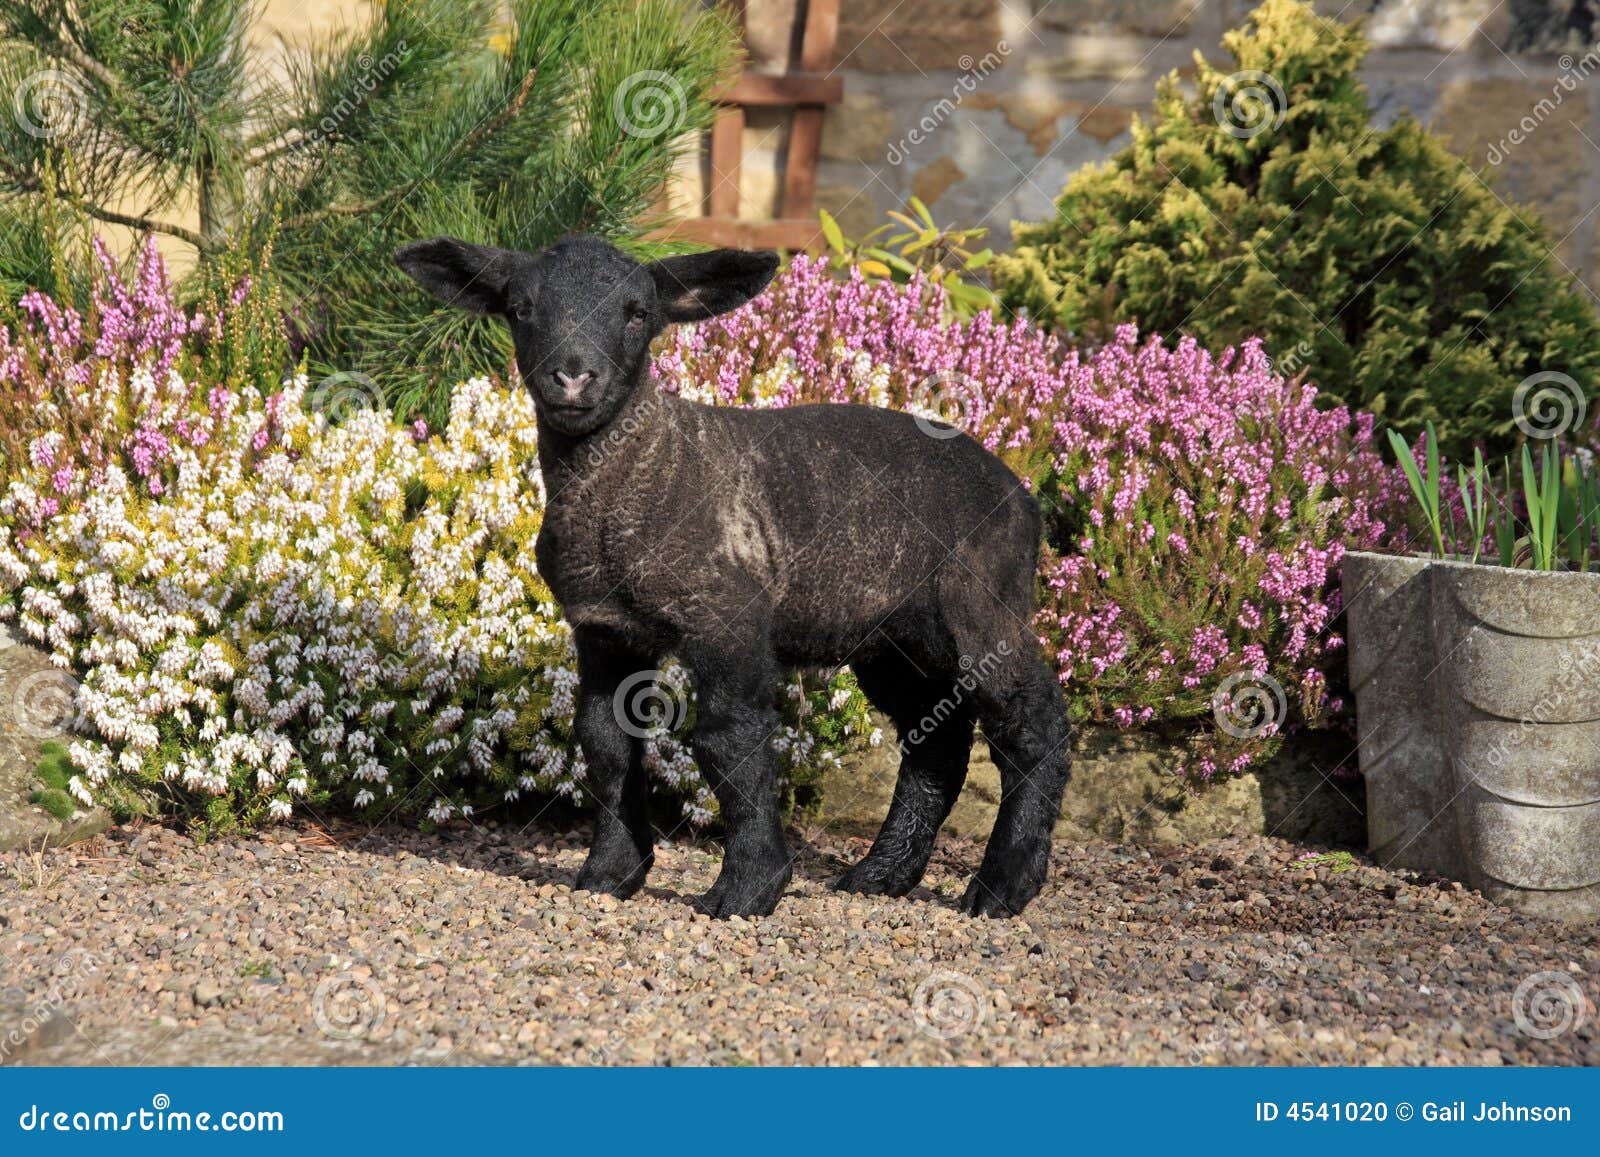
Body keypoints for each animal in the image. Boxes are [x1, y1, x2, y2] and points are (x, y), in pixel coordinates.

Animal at [395, 234, 1072, 918]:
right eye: (521, 308)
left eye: (638, 312)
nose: (574, 376)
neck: (644, 471)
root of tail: (1023, 495)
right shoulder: (602, 628)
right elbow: (604, 742)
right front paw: (610, 873)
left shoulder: (728, 614)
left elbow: (729, 742)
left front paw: (748, 887)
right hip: (894, 635)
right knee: (935, 741)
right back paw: (882, 873)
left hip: (981, 602)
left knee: (1033, 725)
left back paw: (1002, 885)